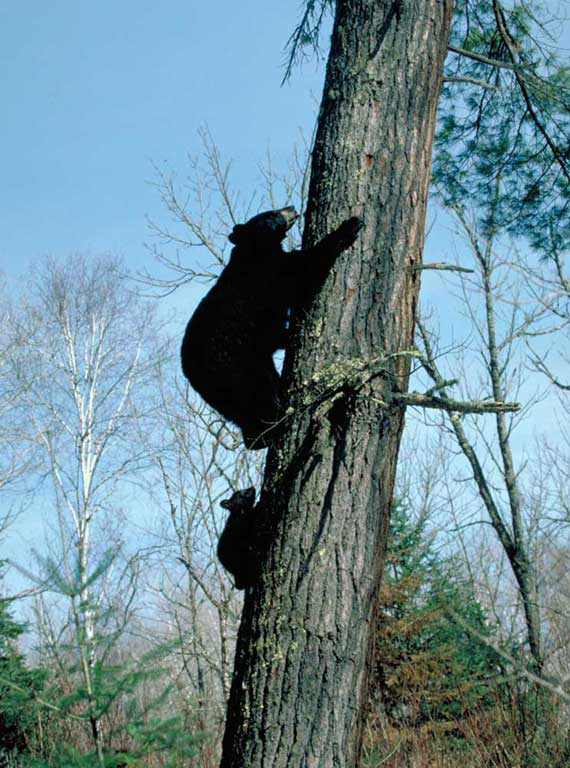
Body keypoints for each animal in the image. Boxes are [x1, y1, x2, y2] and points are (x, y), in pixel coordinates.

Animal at [181, 205, 363, 449]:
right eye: (272, 213)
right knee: (260, 394)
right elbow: (304, 269)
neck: (256, 248)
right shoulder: (269, 272)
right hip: (237, 367)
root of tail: (190, 373)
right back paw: (276, 422)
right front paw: (349, 226)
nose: (292, 207)